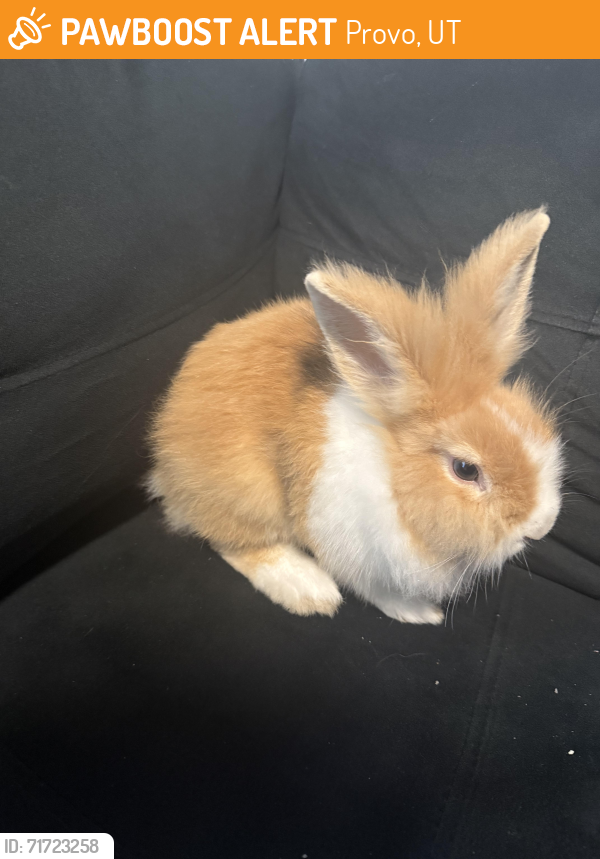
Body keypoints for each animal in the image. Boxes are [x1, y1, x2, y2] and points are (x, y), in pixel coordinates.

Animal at [147, 208, 563, 624]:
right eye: (465, 469)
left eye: (531, 422)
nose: (540, 527)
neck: (393, 479)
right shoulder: (350, 543)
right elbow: (374, 588)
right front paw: (419, 612)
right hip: (247, 495)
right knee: (231, 542)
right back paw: (308, 589)